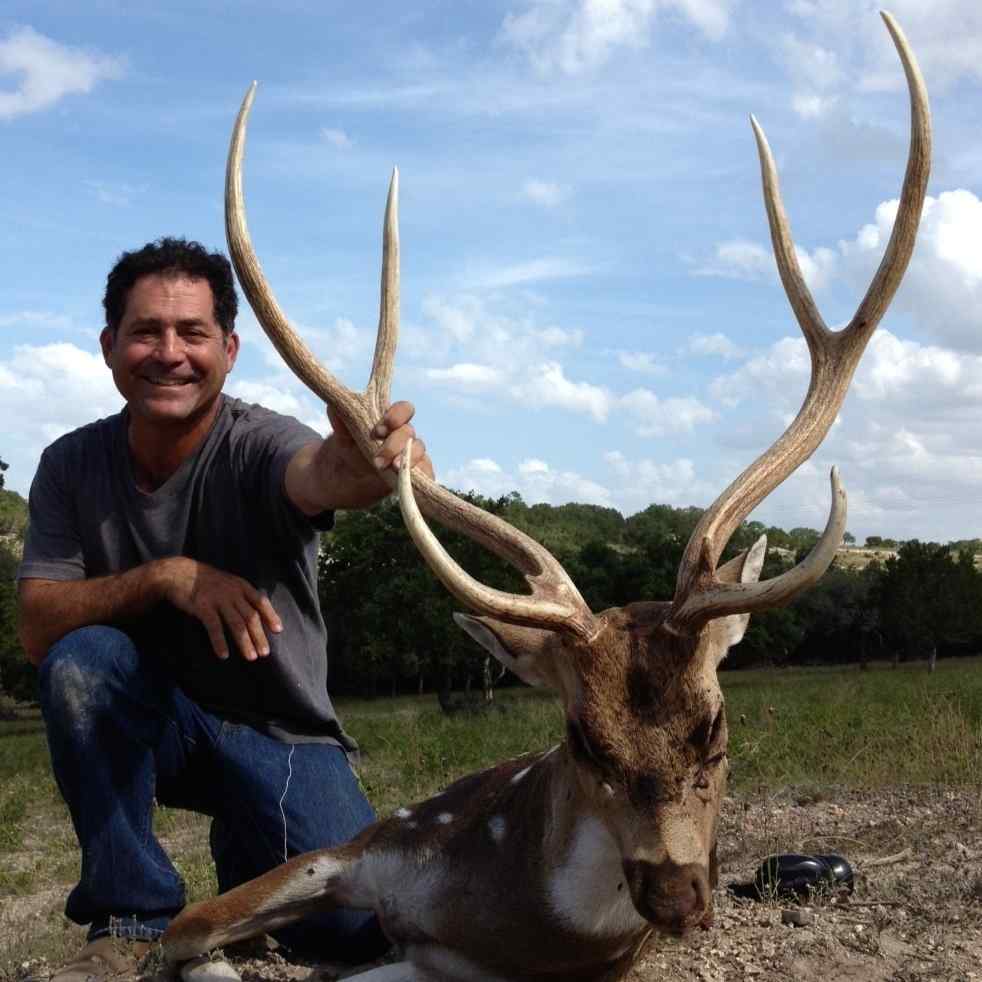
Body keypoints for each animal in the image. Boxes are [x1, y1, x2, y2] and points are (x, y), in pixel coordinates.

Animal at [162, 12, 930, 982]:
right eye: (581, 736)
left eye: (715, 727)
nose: (676, 896)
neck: (489, 914)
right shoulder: (367, 843)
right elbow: (185, 927)